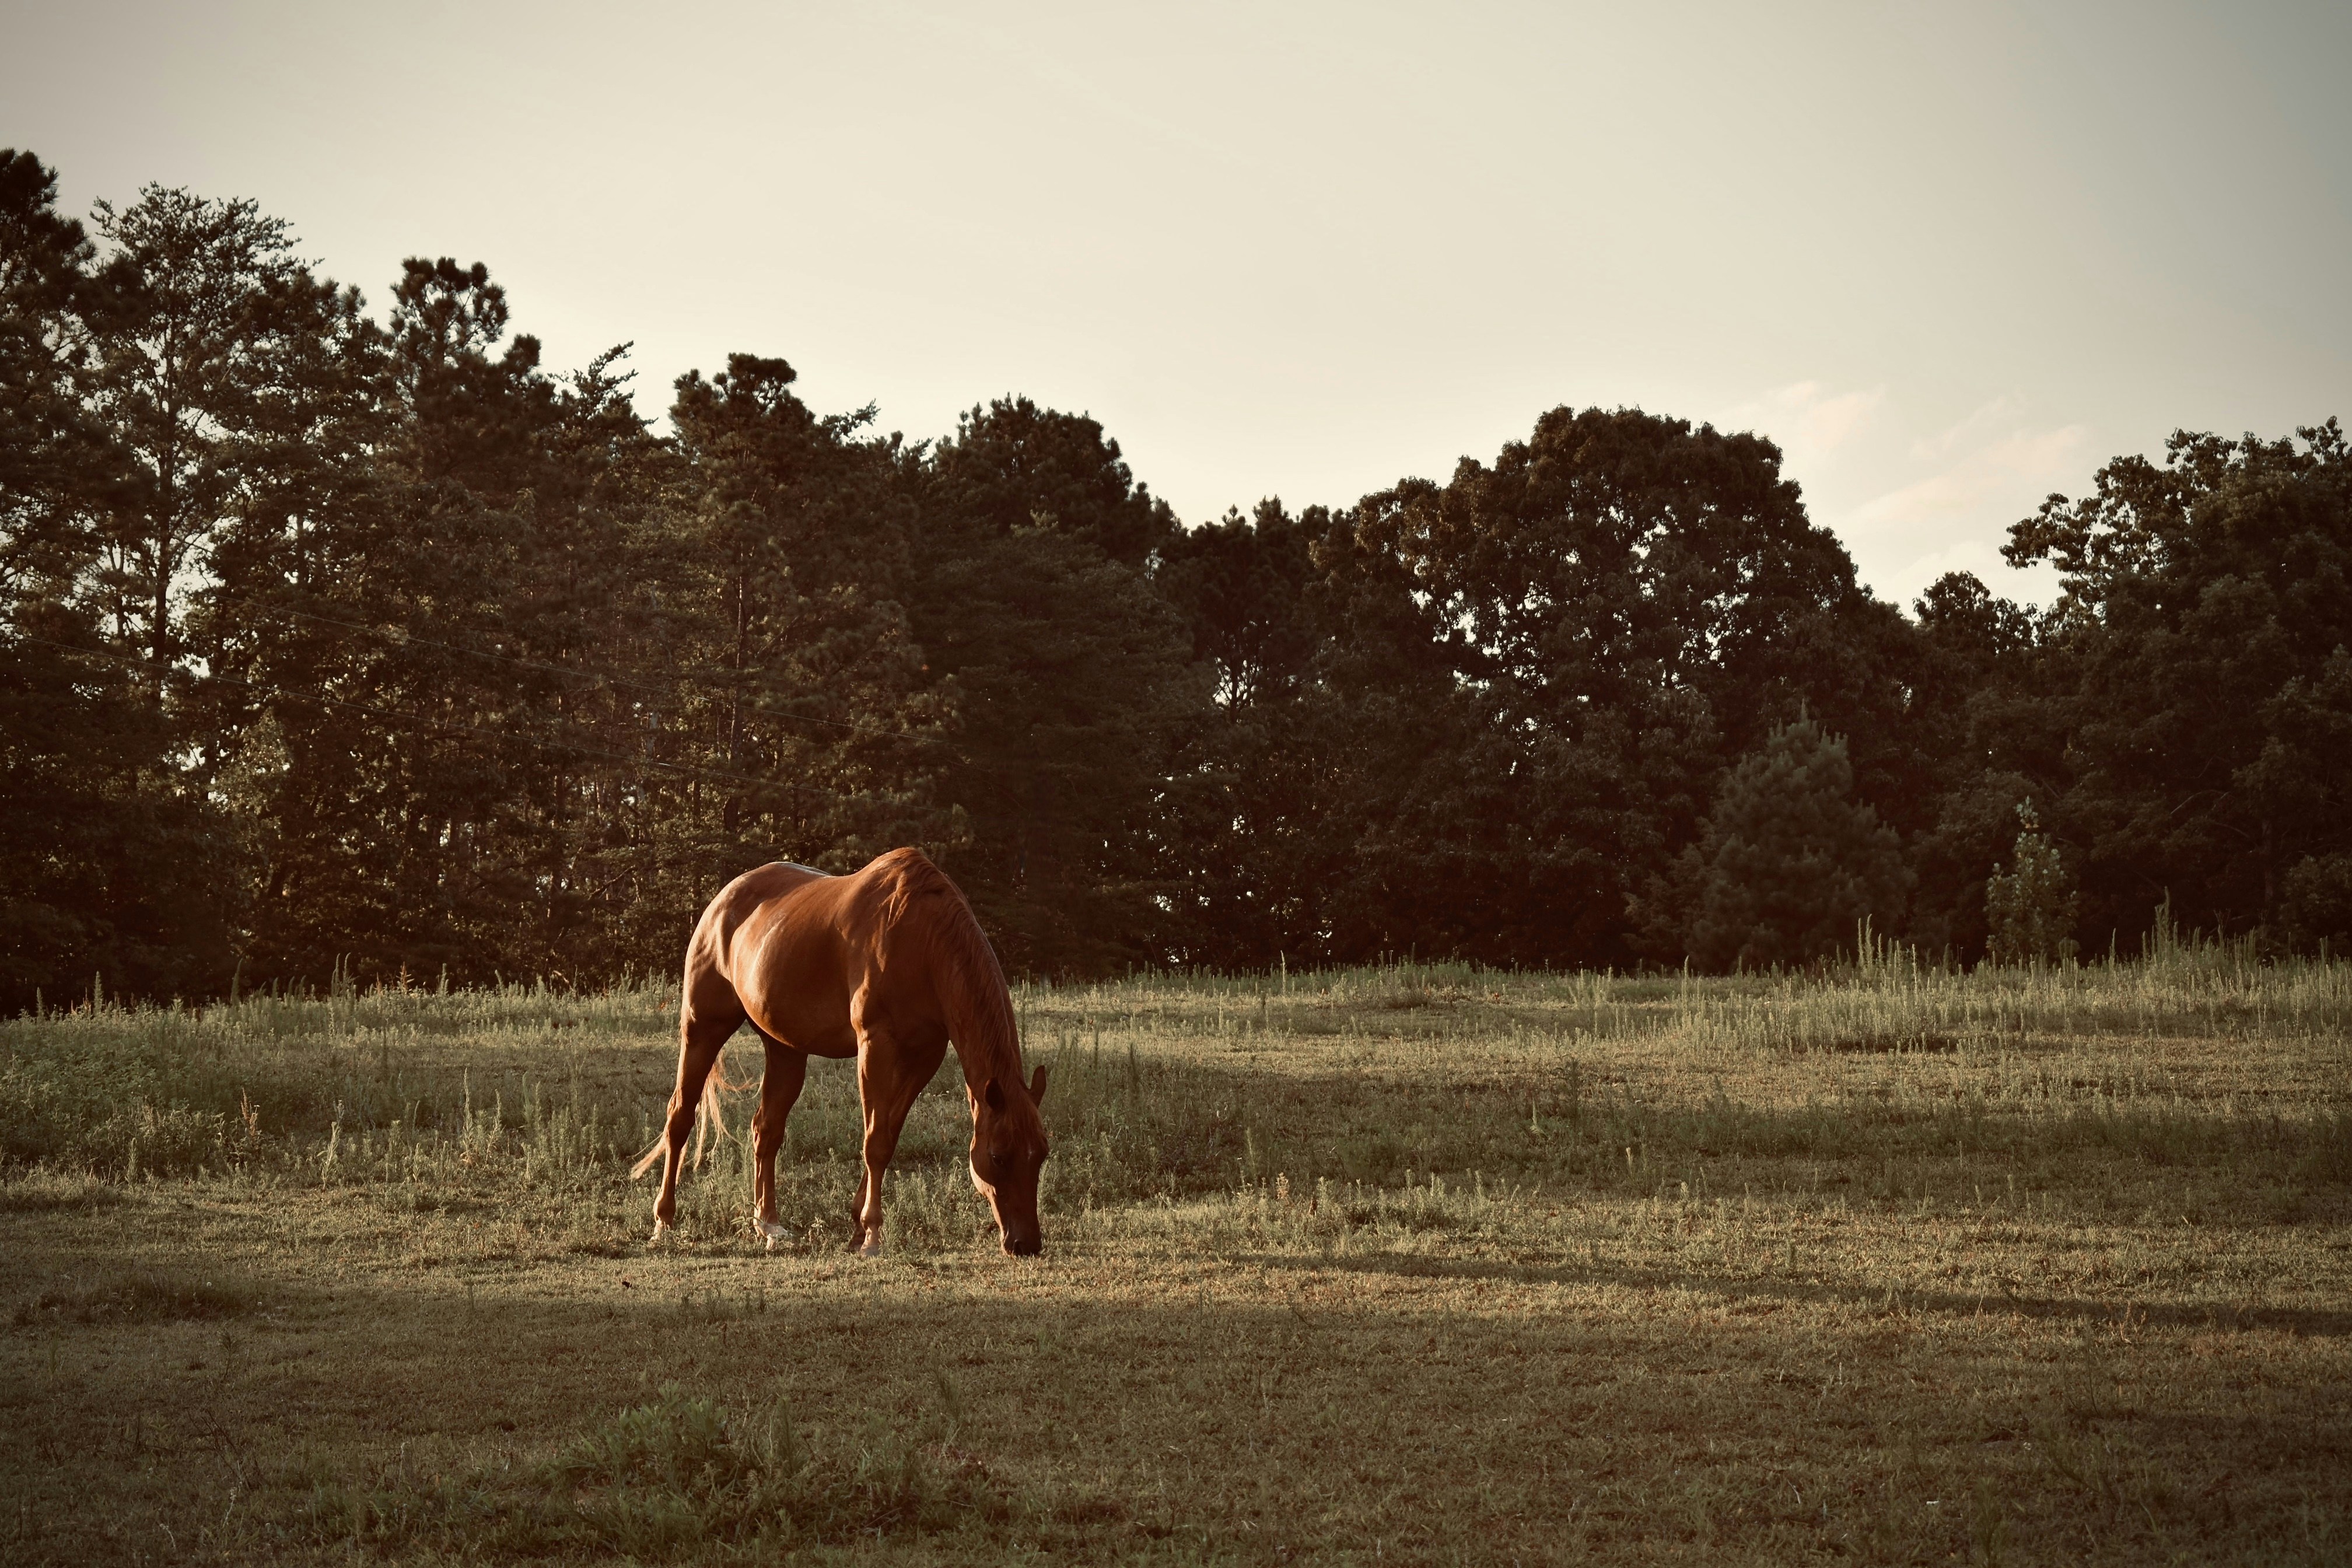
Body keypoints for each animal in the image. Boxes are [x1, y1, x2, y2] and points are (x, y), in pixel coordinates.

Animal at [632, 847, 1050, 1256]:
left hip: (785, 1050)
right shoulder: (875, 1046)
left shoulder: (923, 1058)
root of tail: (722, 901)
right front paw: (872, 1235)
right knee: (680, 1118)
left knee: (766, 1129)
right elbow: (875, 1142)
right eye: (998, 1157)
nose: (1026, 1244)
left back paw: (768, 1224)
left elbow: (887, 1136)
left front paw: (857, 1227)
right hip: (702, 1029)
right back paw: (664, 1221)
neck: (922, 938)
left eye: (1042, 1153)